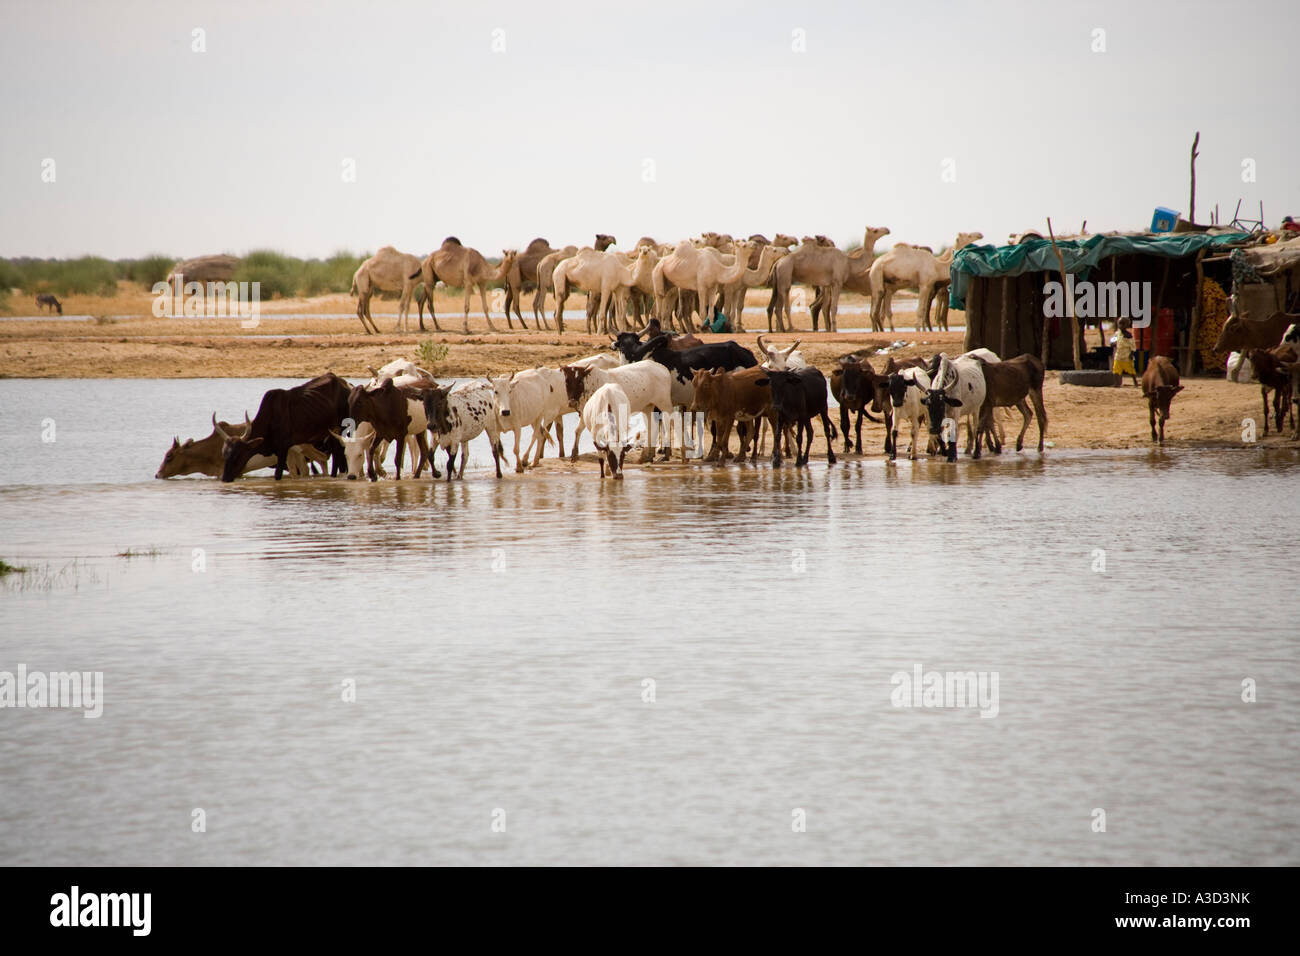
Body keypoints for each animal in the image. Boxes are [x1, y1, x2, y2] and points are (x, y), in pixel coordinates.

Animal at [217, 373, 351, 481]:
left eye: (237, 455)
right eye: (224, 455)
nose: (225, 478)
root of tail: (345, 384)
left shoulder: (283, 449)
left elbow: (278, 475)